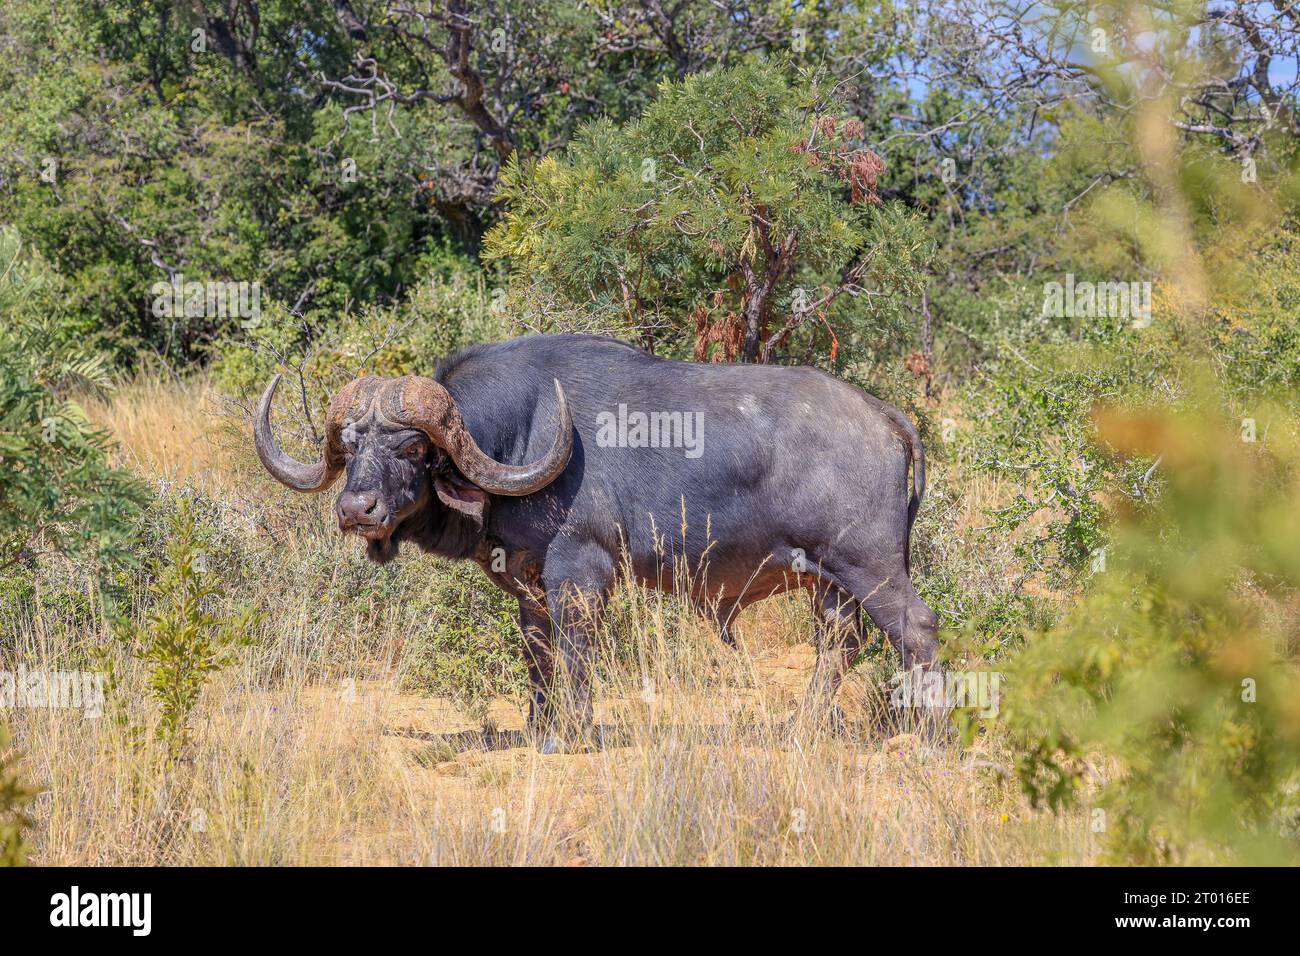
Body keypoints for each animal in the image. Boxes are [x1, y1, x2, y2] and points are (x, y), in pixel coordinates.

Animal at [254, 333, 941, 751]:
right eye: (351, 446)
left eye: (411, 448)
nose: (356, 509)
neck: (524, 432)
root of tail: (882, 415)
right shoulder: (528, 588)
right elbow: (538, 658)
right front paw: (540, 728)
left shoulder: (579, 572)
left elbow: (577, 653)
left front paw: (577, 732)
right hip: (831, 585)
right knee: (839, 646)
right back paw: (804, 725)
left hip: (871, 568)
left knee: (917, 630)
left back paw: (929, 728)